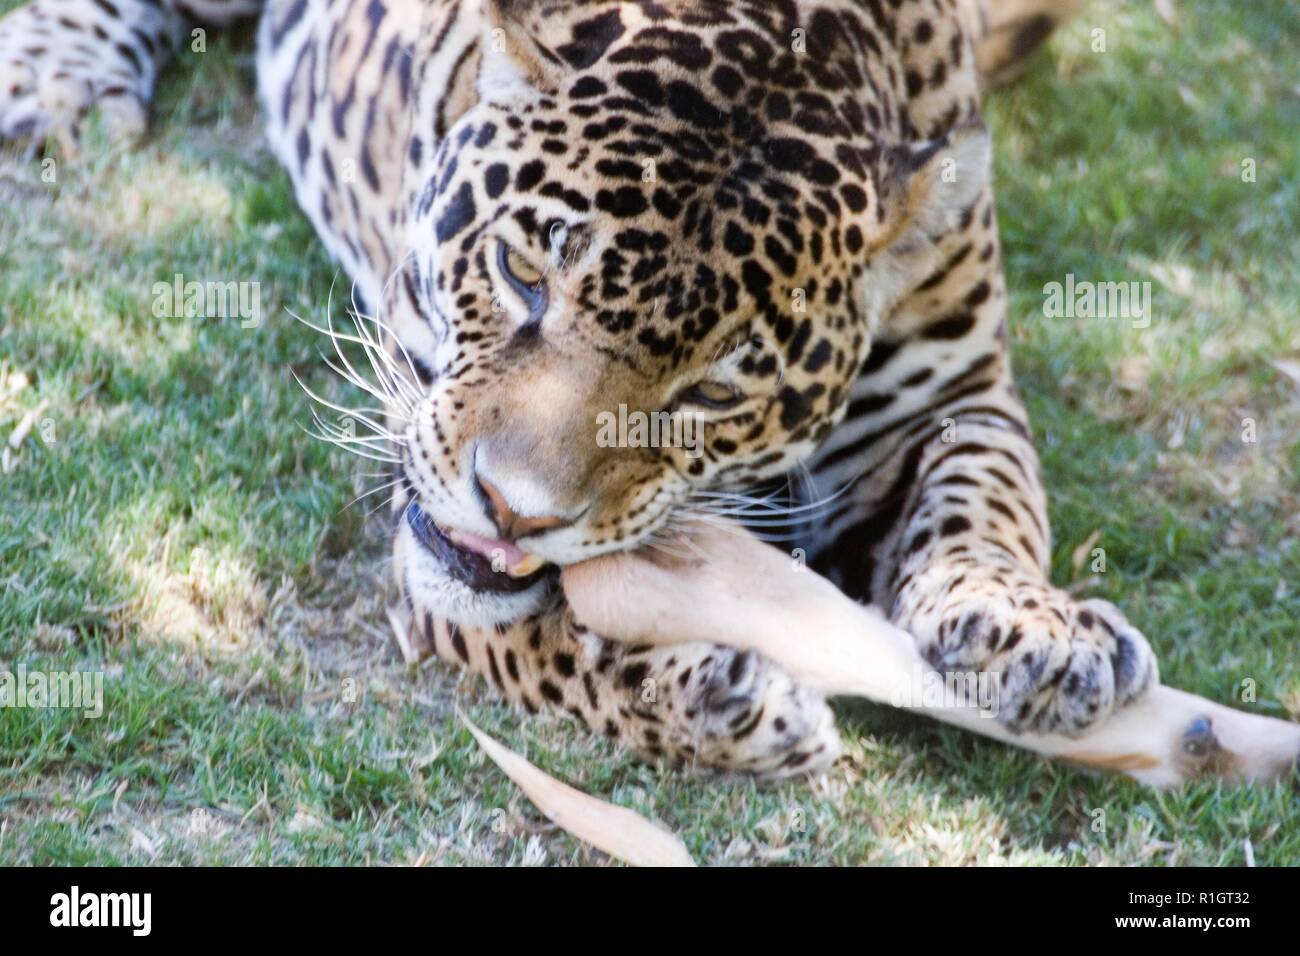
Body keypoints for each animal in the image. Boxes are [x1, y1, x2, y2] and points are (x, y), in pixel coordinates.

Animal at [1, 0, 1163, 778]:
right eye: (523, 273)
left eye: (710, 393)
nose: (513, 510)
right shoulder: (422, 520)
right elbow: (543, 638)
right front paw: (717, 699)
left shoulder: (954, 387)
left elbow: (990, 499)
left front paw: (1030, 627)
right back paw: (58, 78)